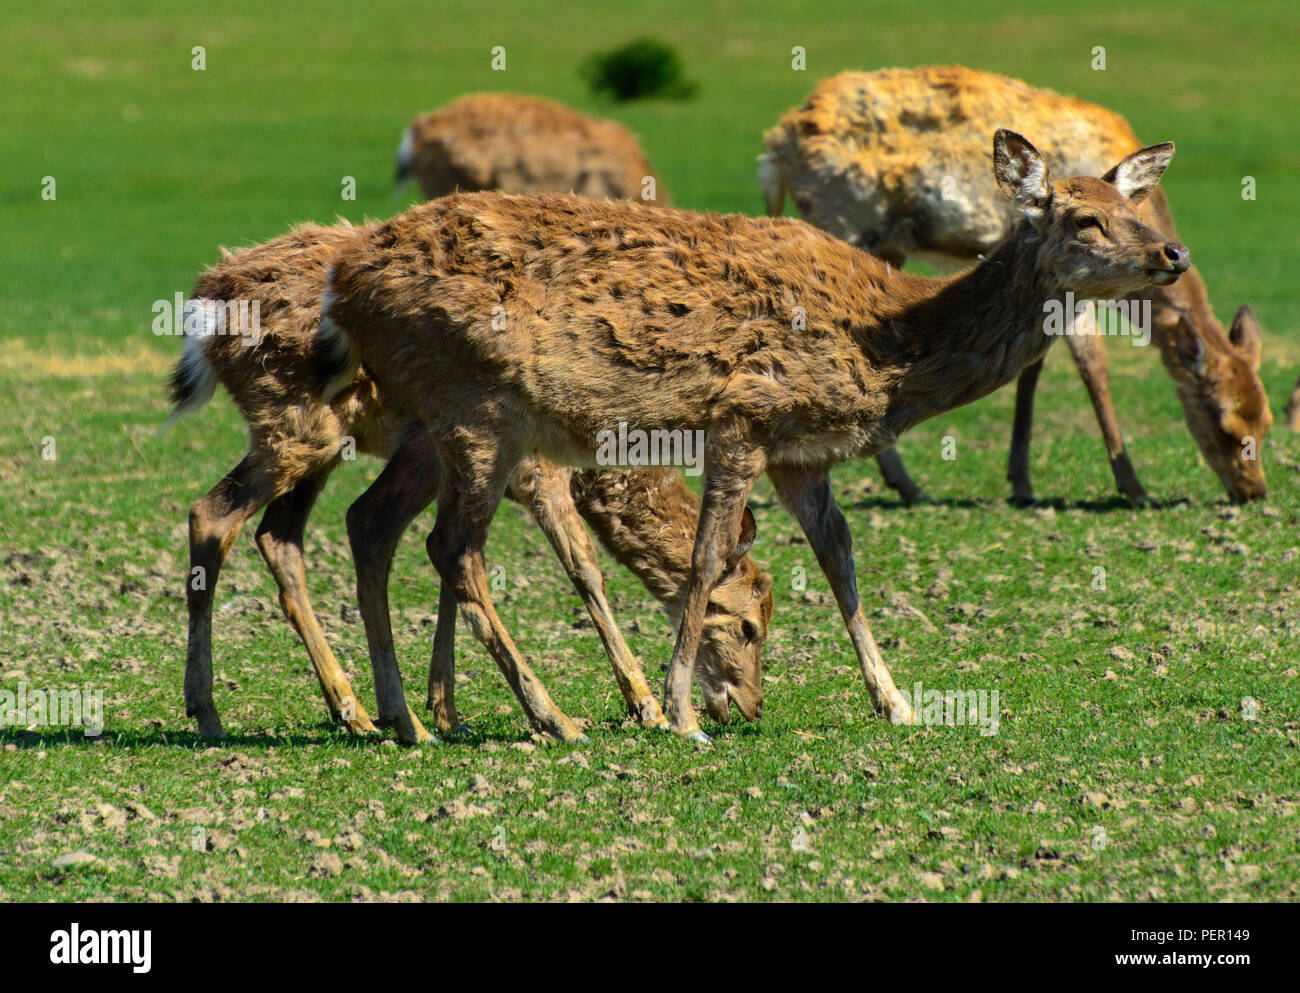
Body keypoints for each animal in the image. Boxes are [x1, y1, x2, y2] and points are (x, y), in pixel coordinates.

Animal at [167, 221, 771, 745]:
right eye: (750, 626)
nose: (750, 705)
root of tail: (202, 308)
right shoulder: (537, 469)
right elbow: (582, 565)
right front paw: (645, 705)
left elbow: (449, 572)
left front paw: (445, 707)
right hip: (298, 425)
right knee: (214, 514)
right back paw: (209, 712)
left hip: (316, 444)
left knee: (281, 536)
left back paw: (356, 712)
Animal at [314, 129, 1189, 741]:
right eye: (1085, 218)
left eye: (1136, 209)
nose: (1173, 252)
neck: (889, 346)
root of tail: (346, 282)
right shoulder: (743, 415)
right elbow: (706, 559)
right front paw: (678, 711)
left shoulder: (803, 453)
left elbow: (840, 562)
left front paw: (896, 701)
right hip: (479, 404)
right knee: (452, 547)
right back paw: (547, 716)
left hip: (435, 417)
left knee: (373, 522)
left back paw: (406, 718)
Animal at [760, 66, 1270, 505]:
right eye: (1224, 423)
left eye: (1266, 421)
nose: (1255, 491)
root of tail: (773, 146)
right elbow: (1093, 366)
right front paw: (1134, 487)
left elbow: (1033, 367)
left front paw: (1021, 481)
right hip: (846, 218)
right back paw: (906, 485)